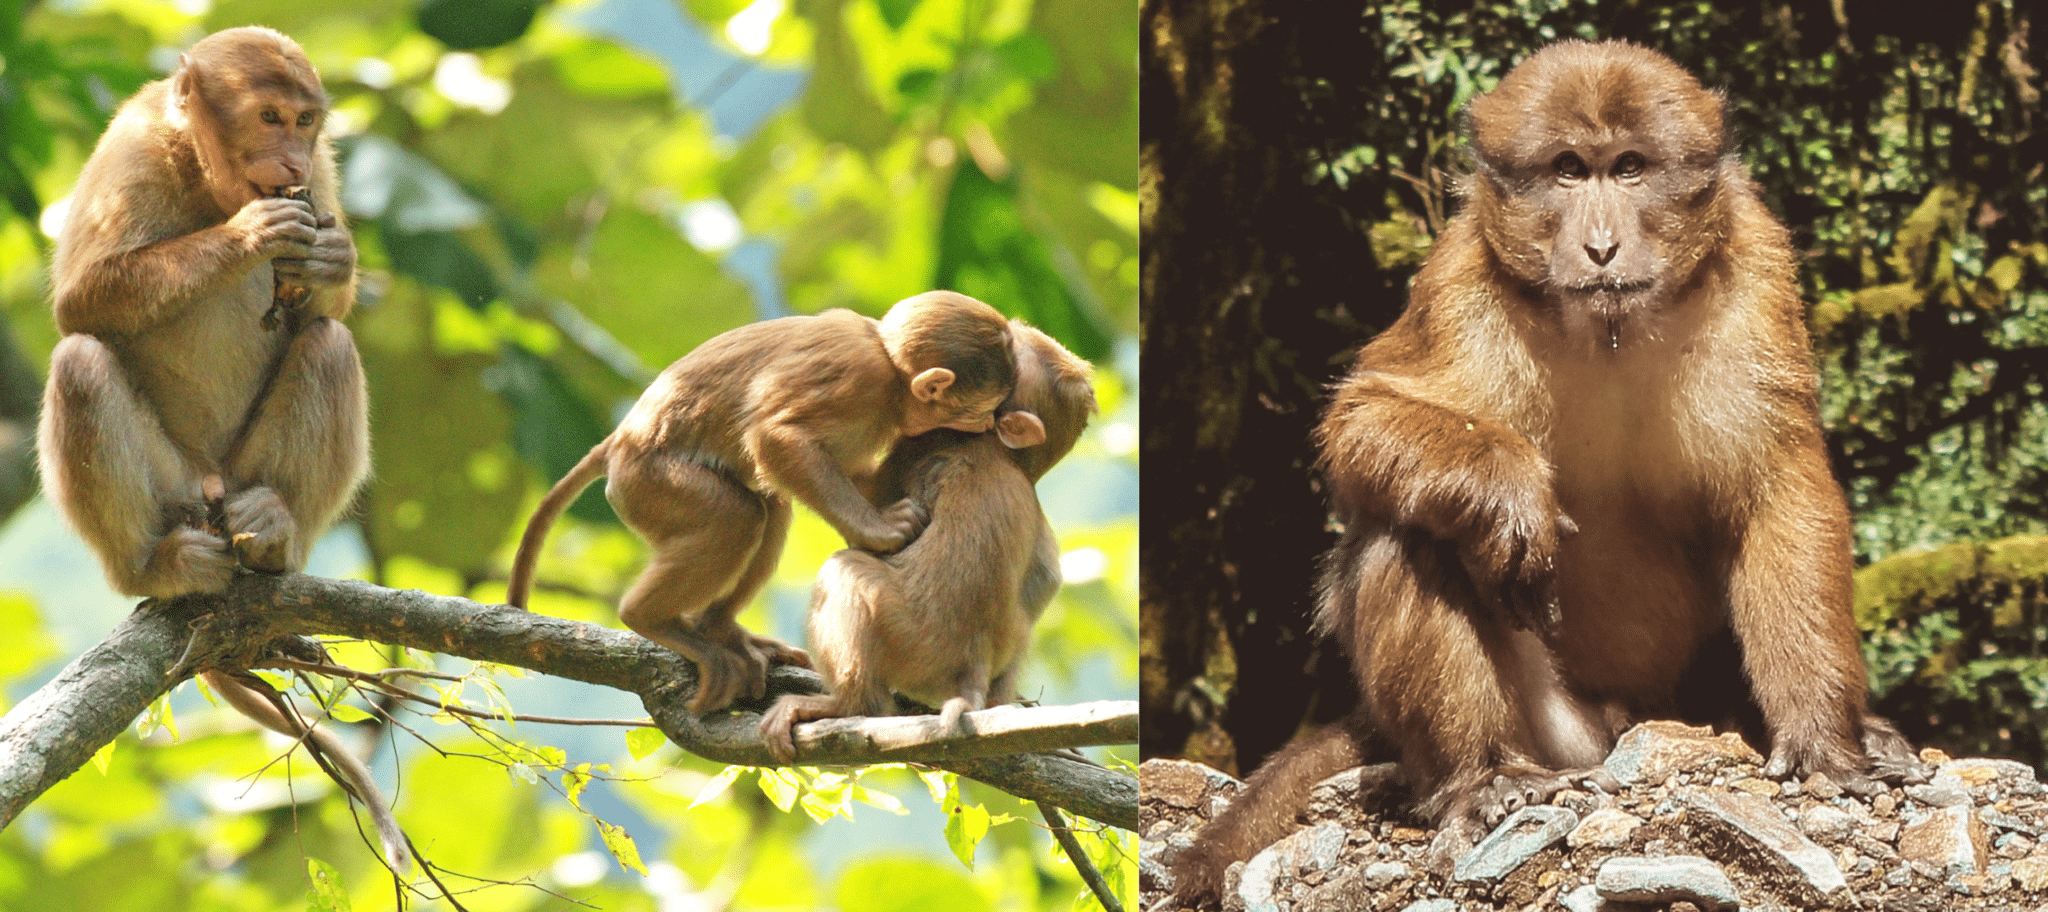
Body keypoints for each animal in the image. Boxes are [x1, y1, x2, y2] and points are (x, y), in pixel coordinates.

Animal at [33, 28, 402, 872]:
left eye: (304, 120)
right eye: (267, 116)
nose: (290, 155)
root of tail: (211, 486)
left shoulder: (321, 175)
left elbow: (328, 306)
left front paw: (329, 261)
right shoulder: (129, 150)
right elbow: (80, 300)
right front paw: (250, 237)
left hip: (241, 473)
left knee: (329, 344)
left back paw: (273, 538)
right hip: (174, 487)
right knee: (80, 363)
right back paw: (156, 568)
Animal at [505, 290, 1019, 716]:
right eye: (979, 409)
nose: (988, 425)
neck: (890, 369)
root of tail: (617, 443)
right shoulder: (859, 377)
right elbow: (777, 436)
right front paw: (877, 530)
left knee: (770, 510)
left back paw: (719, 628)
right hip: (647, 485)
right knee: (735, 517)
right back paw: (646, 618)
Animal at [757, 323, 1096, 763]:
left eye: (1019, 351)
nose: (1012, 326)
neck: (1000, 450)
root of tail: (972, 666)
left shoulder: (923, 446)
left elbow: (869, 501)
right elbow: (1047, 576)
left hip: (909, 641)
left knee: (845, 572)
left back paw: (843, 706)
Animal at [1168, 40, 1920, 905]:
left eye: (1628, 169)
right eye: (1567, 171)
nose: (1600, 247)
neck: (1611, 327)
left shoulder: (1756, 265)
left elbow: (1776, 491)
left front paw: (1825, 741)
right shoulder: (1461, 275)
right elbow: (1363, 417)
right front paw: (1506, 490)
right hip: (1560, 733)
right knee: (1407, 533)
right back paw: (1482, 774)